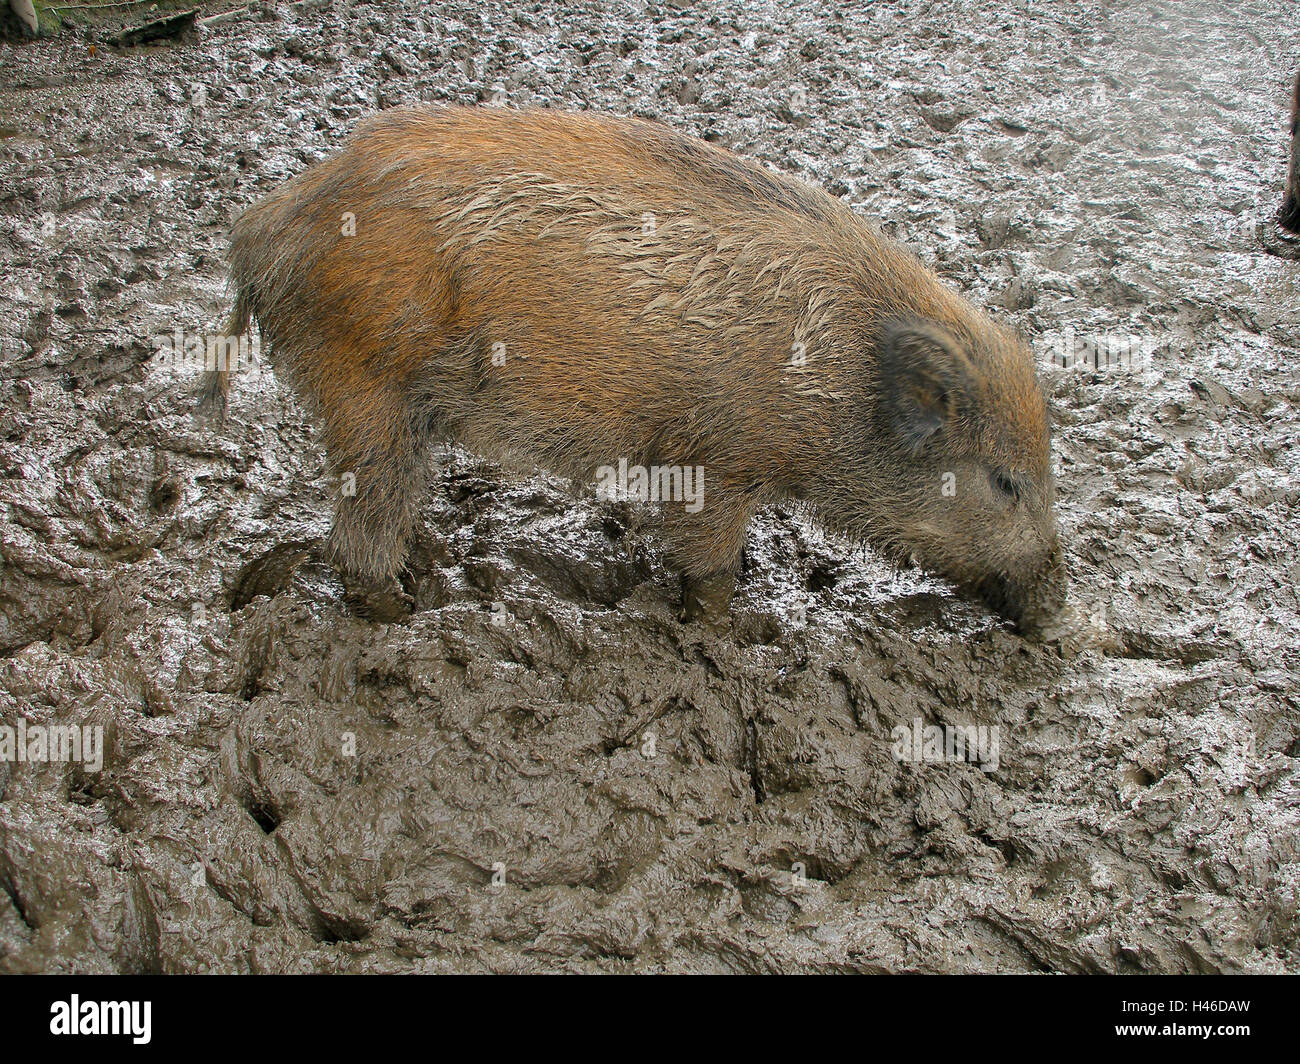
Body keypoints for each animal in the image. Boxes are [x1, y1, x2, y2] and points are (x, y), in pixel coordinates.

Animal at [201, 105, 1067, 635]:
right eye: (1006, 481)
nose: (1059, 614)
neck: (839, 382)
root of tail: (266, 225)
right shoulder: (718, 459)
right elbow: (710, 563)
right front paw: (717, 627)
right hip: (364, 385)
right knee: (360, 527)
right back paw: (404, 611)